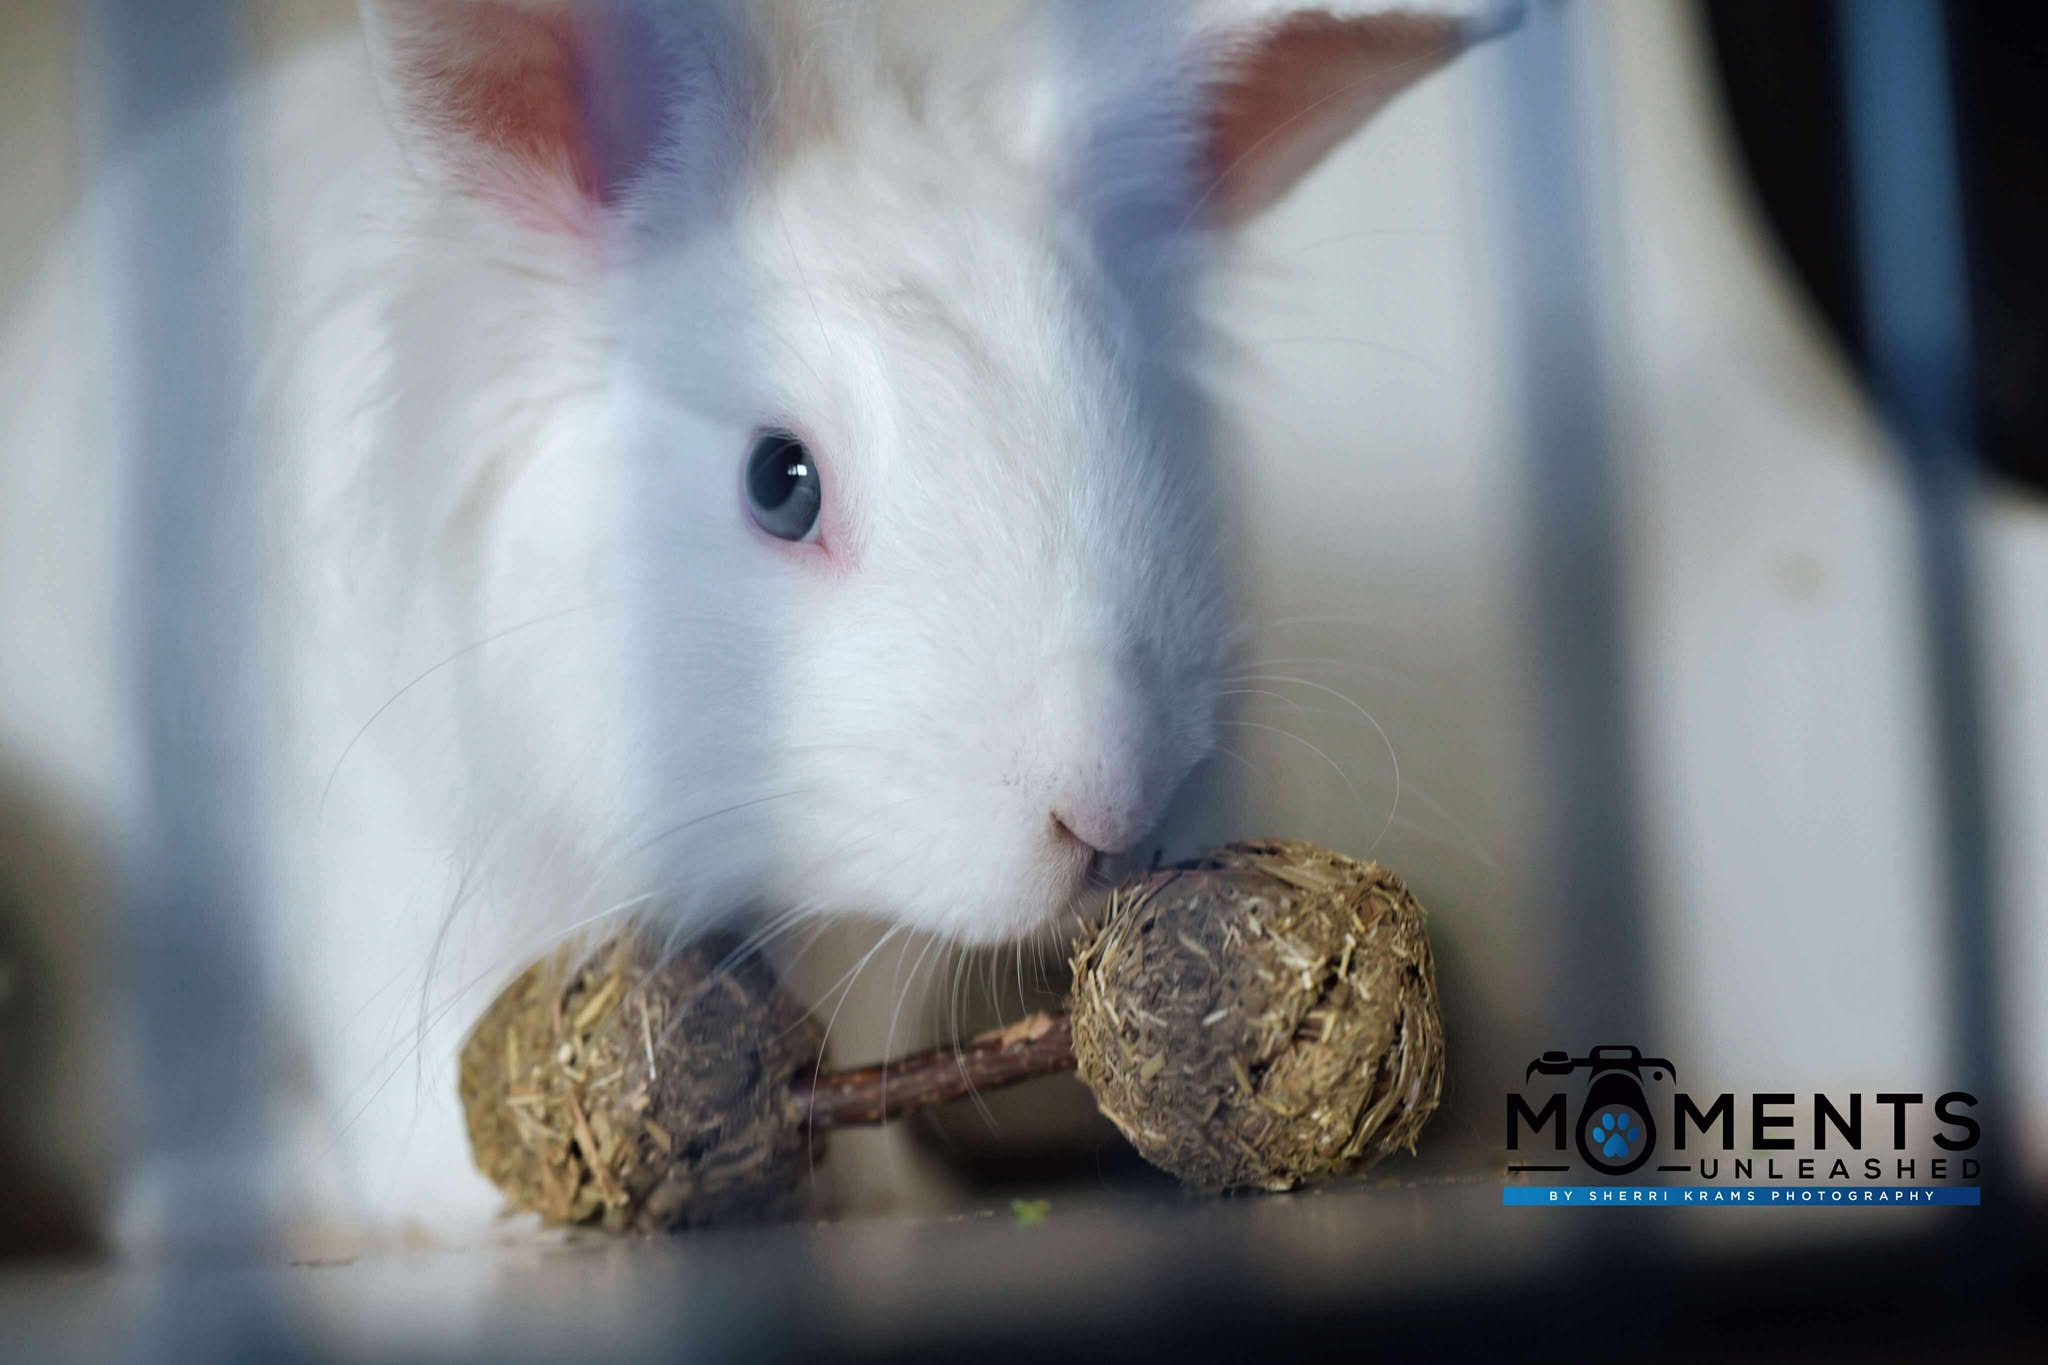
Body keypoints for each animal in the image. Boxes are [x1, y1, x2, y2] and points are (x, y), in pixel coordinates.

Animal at [0, 0, 1505, 1251]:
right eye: (780, 484)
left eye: (1134, 422)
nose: (1107, 808)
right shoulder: (415, 864)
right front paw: (467, 1207)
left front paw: (877, 1192)